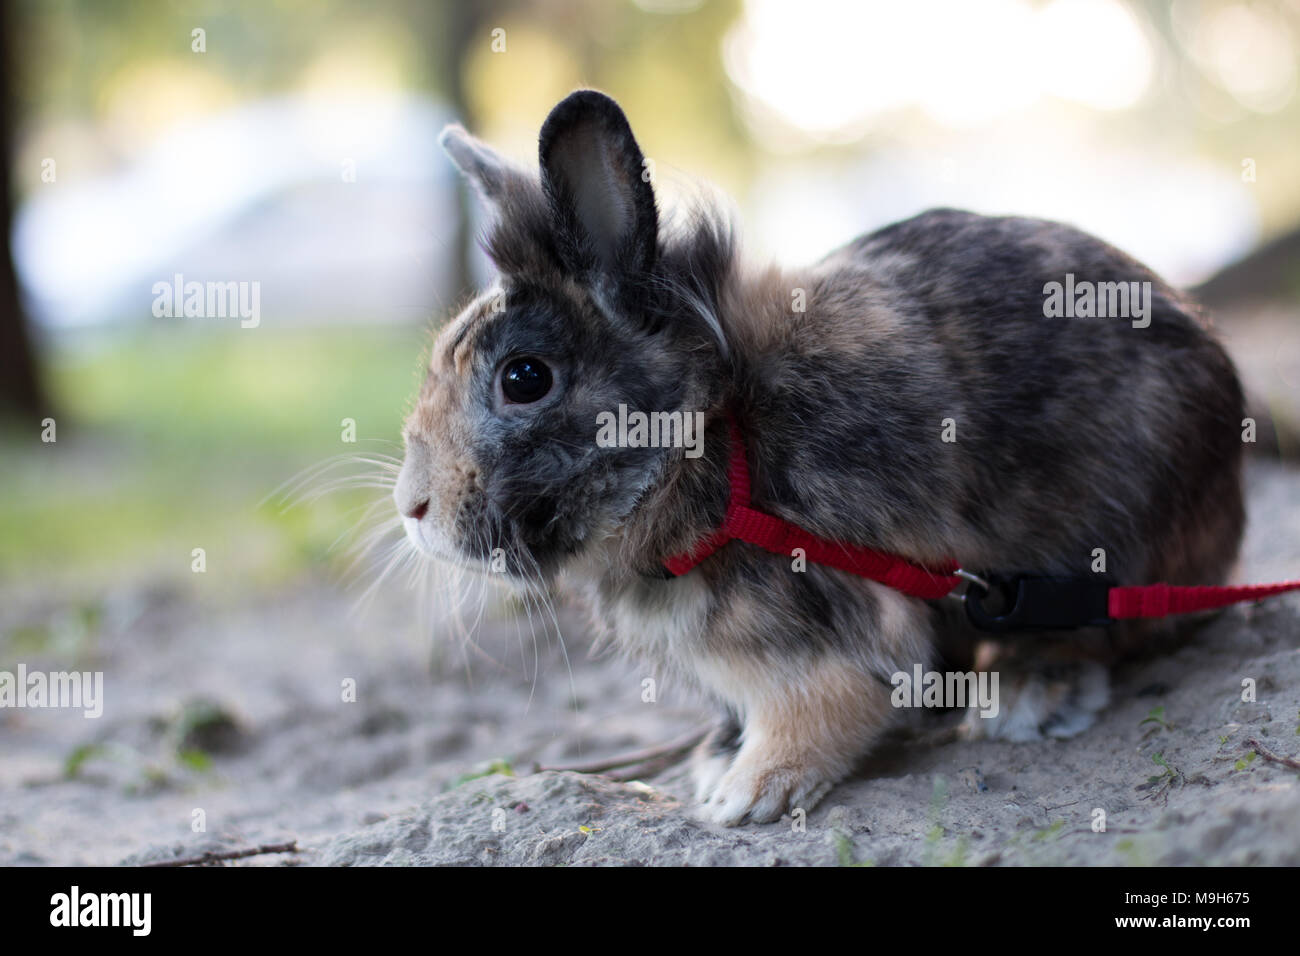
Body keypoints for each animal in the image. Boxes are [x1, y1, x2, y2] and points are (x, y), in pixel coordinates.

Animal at [394, 89, 1246, 825]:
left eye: (524, 378)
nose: (412, 509)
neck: (712, 441)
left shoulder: (836, 613)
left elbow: (824, 703)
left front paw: (747, 793)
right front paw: (718, 759)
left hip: (1105, 546)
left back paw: (1030, 687)